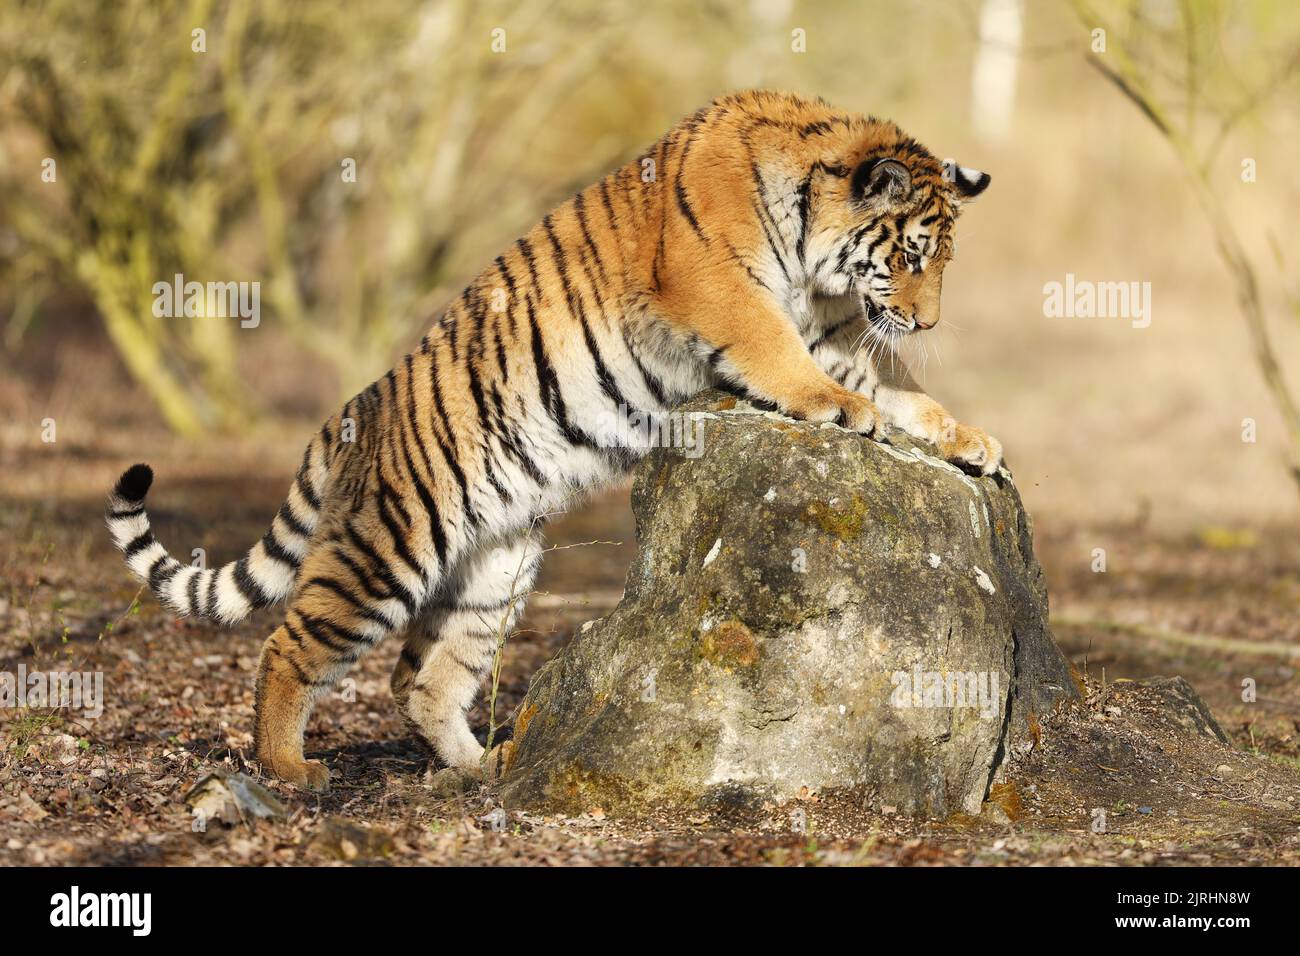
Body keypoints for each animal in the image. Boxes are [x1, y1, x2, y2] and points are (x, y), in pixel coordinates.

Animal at [107, 90, 998, 791]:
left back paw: (483, 767)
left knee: (425, 681)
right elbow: (790, 361)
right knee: (289, 645)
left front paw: (970, 440)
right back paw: (288, 767)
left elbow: (902, 389)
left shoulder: (841, 332)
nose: (928, 323)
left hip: (494, 572)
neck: (817, 255)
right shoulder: (728, 297)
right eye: (912, 254)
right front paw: (840, 409)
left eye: (942, 260)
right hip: (385, 546)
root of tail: (350, 411)